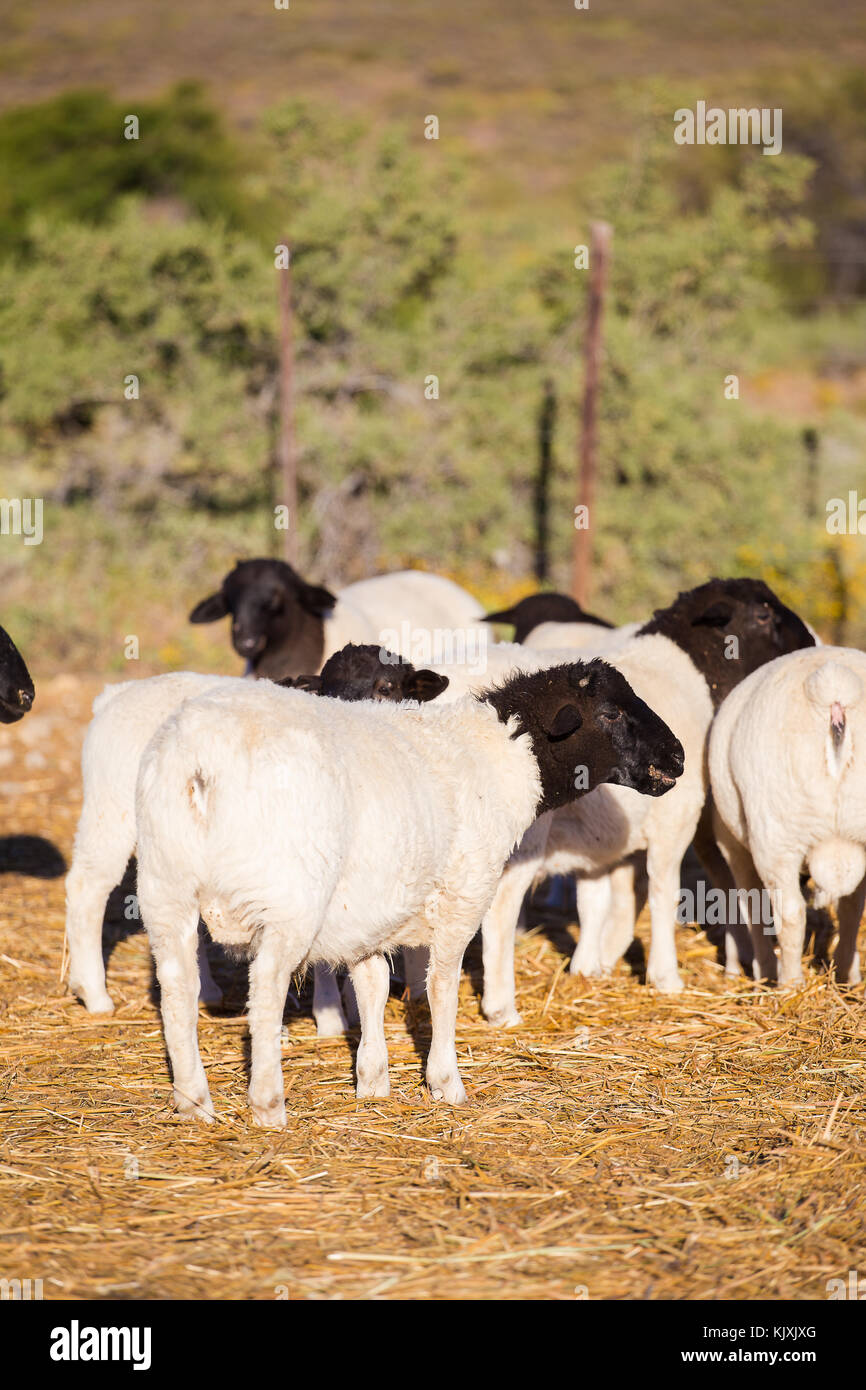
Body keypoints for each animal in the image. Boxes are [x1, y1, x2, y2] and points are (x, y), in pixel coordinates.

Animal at [64, 646, 448, 1027]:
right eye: (327, 689)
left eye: (387, 687)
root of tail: (117, 694)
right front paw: (333, 1016)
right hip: (112, 813)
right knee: (87, 887)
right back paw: (95, 994)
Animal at [132, 661, 685, 1124]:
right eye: (610, 712)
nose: (678, 756)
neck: (498, 756)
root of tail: (202, 765)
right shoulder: (462, 898)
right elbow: (442, 988)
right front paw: (445, 1082)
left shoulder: (371, 908)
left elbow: (372, 985)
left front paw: (373, 1081)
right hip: (287, 896)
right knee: (265, 988)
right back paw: (268, 1105)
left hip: (164, 885)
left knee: (177, 987)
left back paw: (194, 1102)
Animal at [451, 578, 816, 1022]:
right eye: (763, 615)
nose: (810, 644)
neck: (688, 674)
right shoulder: (673, 822)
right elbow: (663, 894)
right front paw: (666, 978)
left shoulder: (604, 845)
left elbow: (604, 902)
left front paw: (590, 967)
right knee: (501, 908)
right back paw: (501, 1007)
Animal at [709, 646, 866, 986]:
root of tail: (834, 695)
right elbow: (852, 907)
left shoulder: (732, 844)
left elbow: (751, 903)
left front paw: (765, 969)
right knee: (848, 910)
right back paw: (844, 976)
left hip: (776, 834)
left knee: (790, 914)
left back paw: (789, 984)